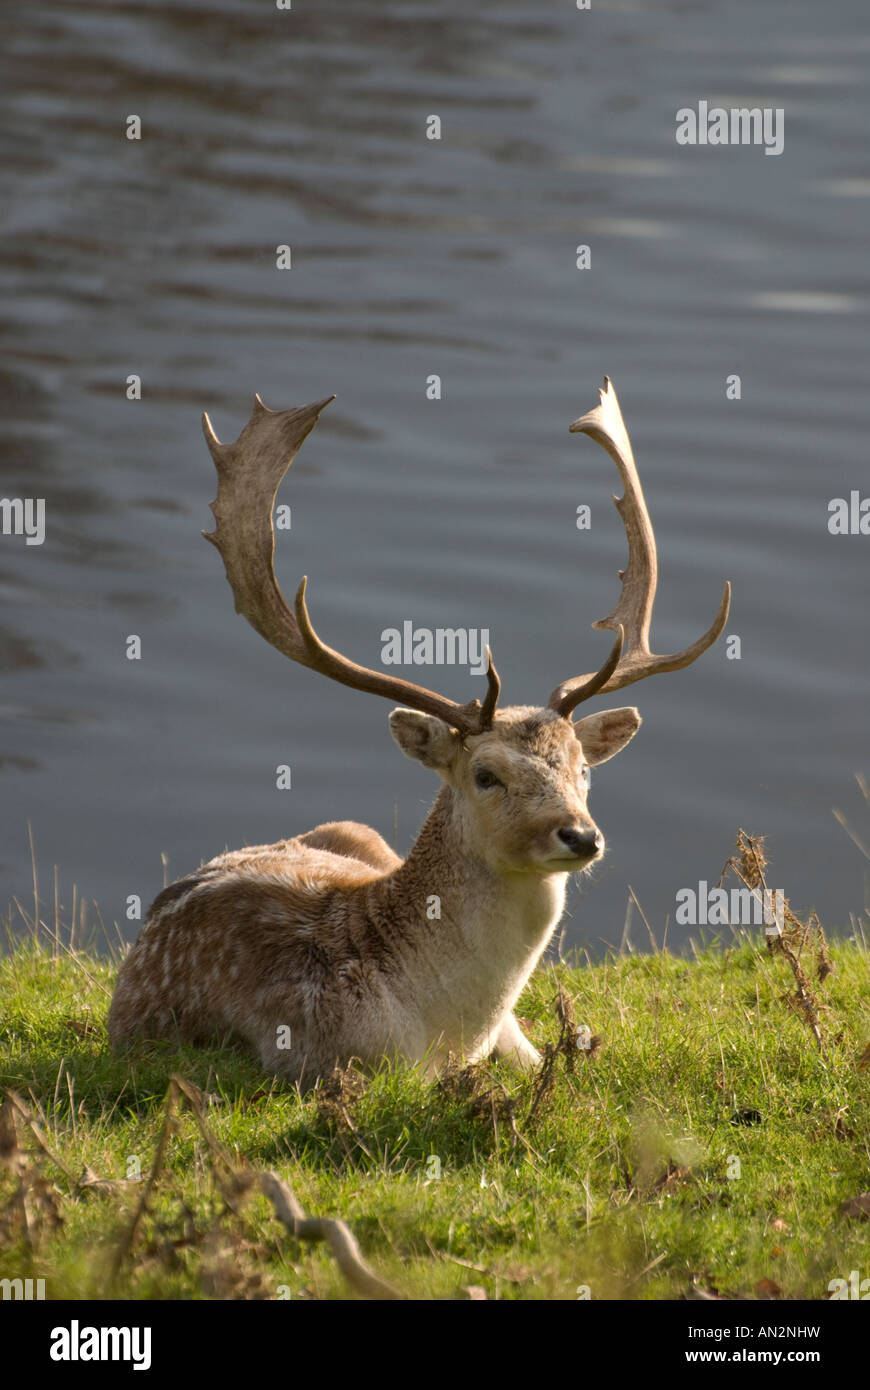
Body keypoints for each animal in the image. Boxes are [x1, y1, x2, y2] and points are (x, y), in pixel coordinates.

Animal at [108, 378, 730, 1087]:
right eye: (486, 775)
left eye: (583, 767)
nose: (580, 835)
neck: (446, 1032)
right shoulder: (317, 1061)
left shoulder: (513, 1036)